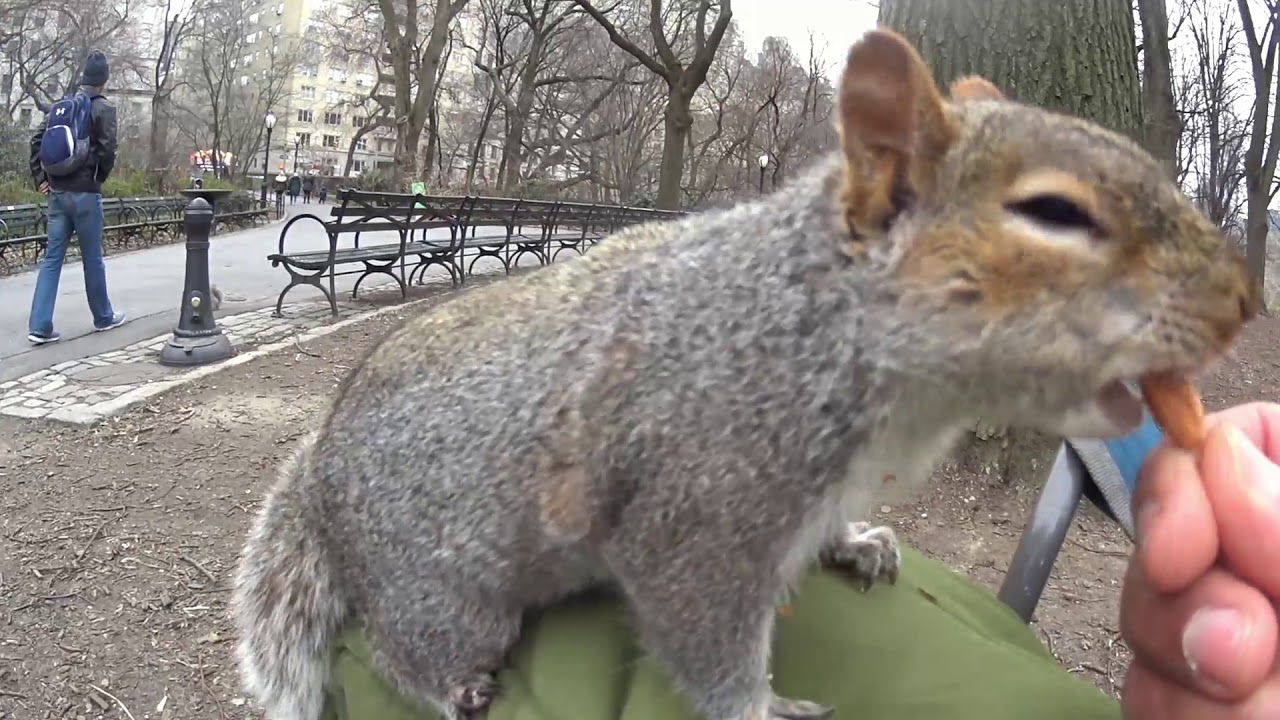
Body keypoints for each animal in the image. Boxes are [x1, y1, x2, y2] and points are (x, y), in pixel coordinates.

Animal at [231, 28, 1257, 720]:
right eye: (1053, 213)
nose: (1246, 299)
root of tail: (320, 476)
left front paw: (856, 543)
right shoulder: (704, 501)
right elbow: (702, 626)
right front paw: (761, 706)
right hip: (446, 592)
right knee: (401, 647)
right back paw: (451, 686)